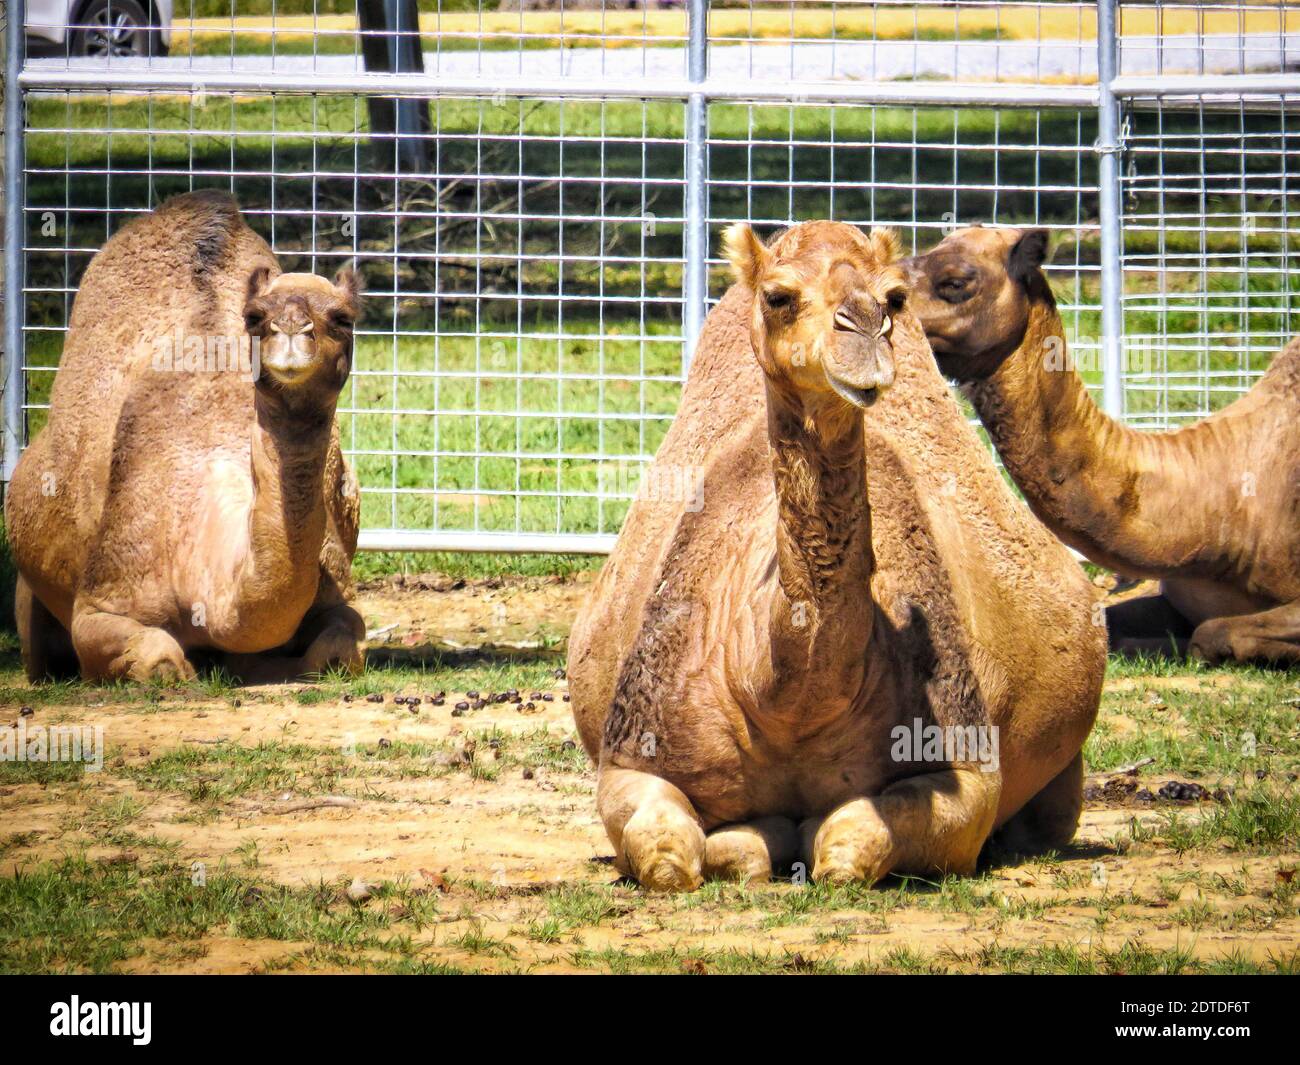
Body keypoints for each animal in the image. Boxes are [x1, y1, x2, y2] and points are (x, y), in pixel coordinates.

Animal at [5, 190, 366, 683]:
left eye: (343, 318)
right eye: (255, 316)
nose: (292, 330)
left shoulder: (336, 583)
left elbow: (341, 645)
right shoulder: (104, 598)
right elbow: (158, 659)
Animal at [566, 221, 1104, 892]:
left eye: (895, 297)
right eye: (777, 296)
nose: (865, 330)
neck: (778, 698)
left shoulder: (967, 768)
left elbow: (846, 849)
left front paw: (794, 837)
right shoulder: (630, 755)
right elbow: (668, 858)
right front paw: (752, 840)